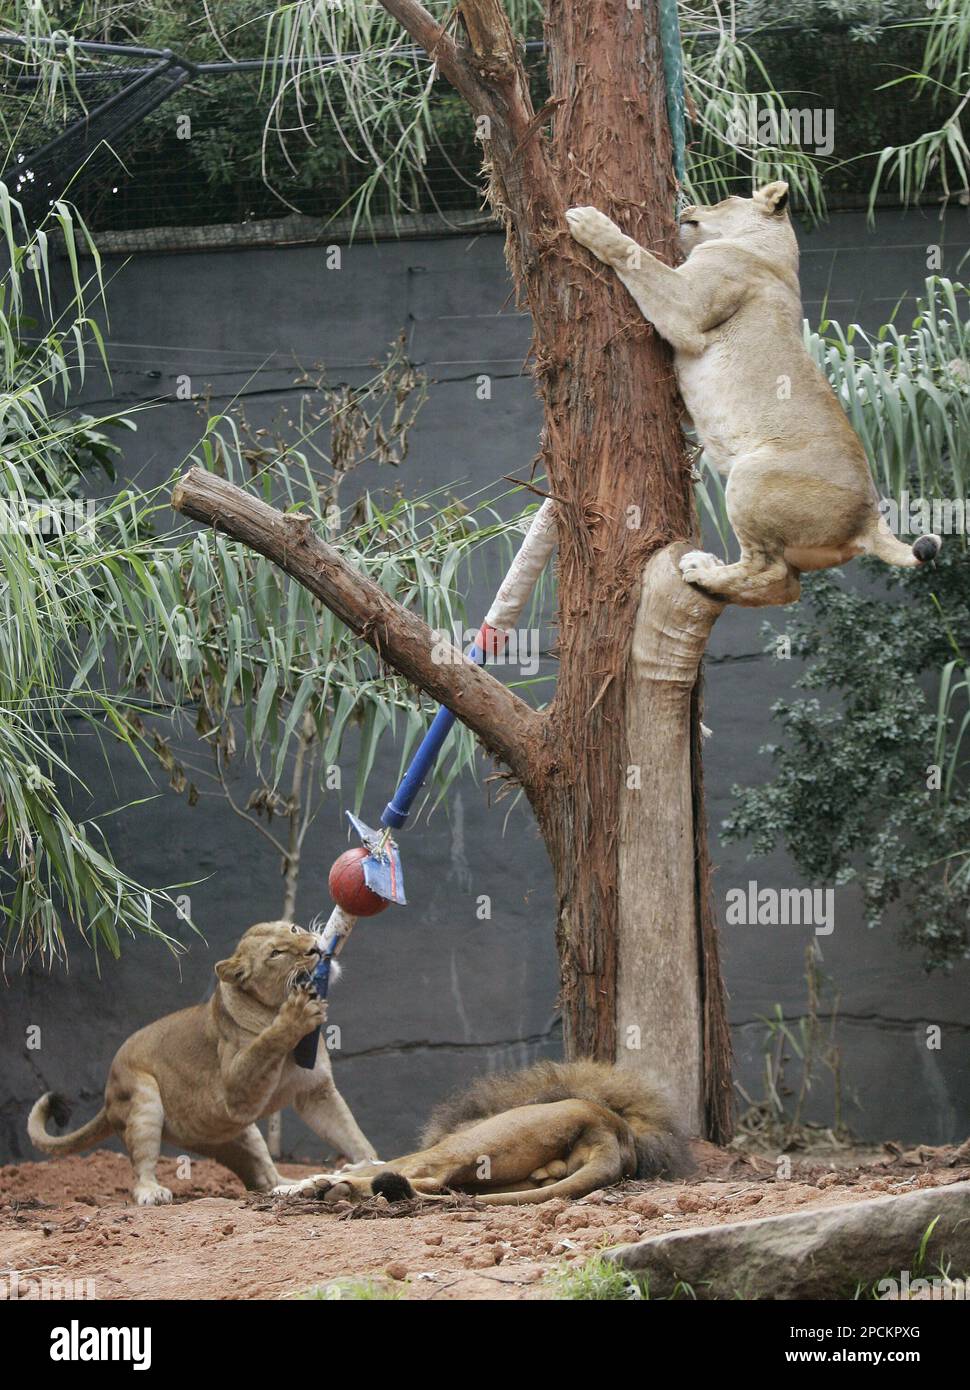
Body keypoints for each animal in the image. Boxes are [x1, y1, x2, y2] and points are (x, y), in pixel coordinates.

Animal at [27, 921, 376, 1205]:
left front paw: (369, 1165)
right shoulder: (237, 1091)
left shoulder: (315, 1092)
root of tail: (108, 1092)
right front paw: (295, 1016)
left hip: (237, 1136)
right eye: (276, 953)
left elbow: (351, 1133)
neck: (271, 1007)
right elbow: (264, 1045)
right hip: (142, 1098)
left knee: (263, 1178)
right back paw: (152, 1191)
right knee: (142, 1162)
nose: (315, 948)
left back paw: (291, 1186)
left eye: (293, 929)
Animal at [279, 1058, 691, 1207]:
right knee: (437, 1186)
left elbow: (375, 1164)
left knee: (426, 1175)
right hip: (504, 1177)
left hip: (471, 1144)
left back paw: (322, 1188)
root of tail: (613, 1133)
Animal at [566, 183, 940, 608]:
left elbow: (638, 258)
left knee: (768, 568)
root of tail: (871, 519)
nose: (688, 207)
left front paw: (590, 222)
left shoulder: (688, 306)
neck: (771, 250)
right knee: (787, 586)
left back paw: (704, 571)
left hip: (751, 477)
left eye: (725, 199)